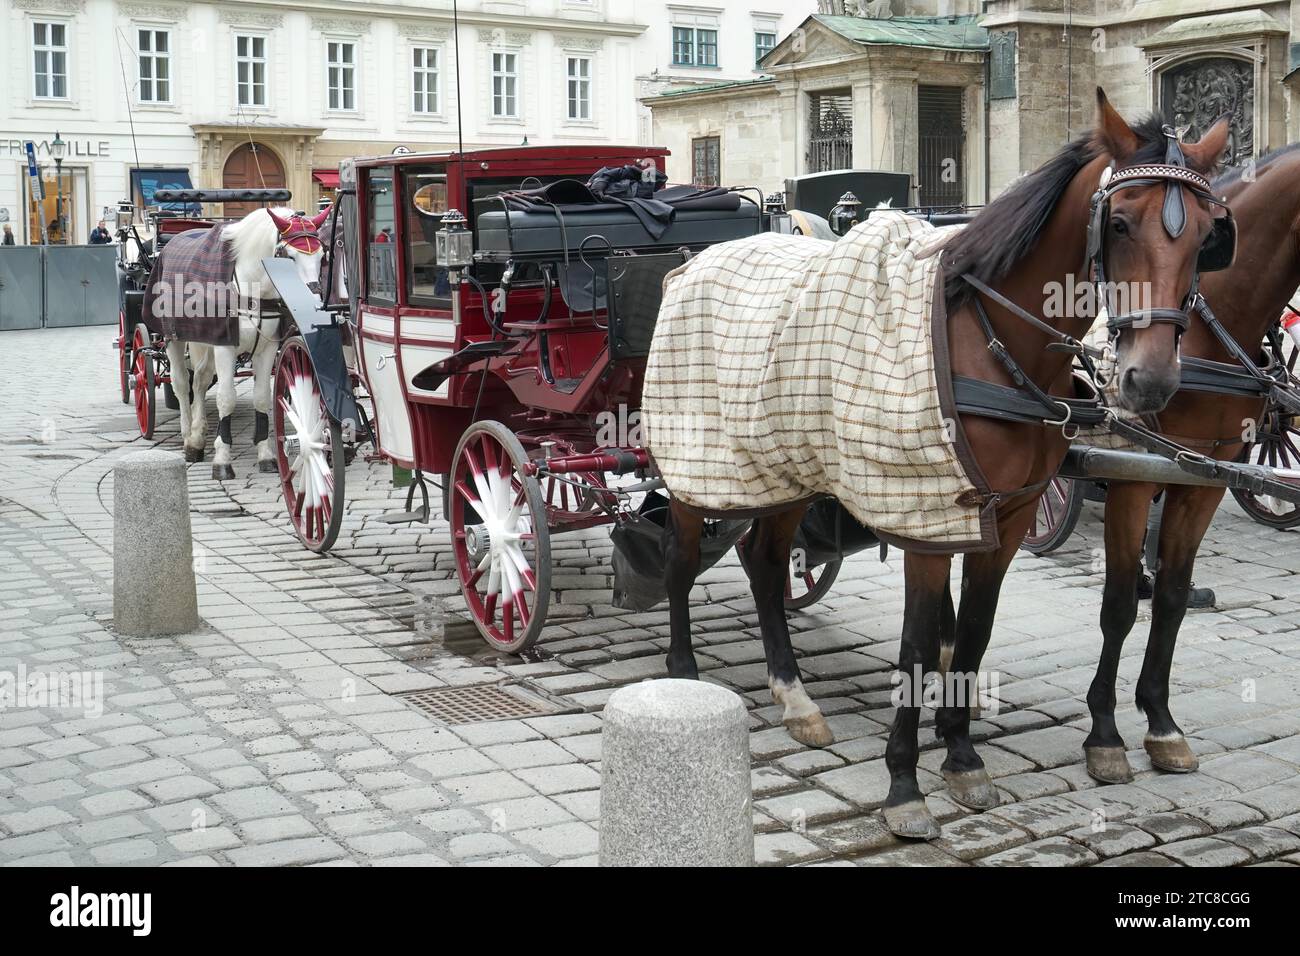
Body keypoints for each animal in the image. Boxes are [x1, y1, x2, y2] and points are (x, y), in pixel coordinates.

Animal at [161, 207, 328, 480]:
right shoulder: (225, 348)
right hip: (174, 338)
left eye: (322, 257)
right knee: (182, 383)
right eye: (289, 257)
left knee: (200, 379)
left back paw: (197, 435)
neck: (252, 290)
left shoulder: (266, 349)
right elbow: (226, 398)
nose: (312, 306)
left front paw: (265, 455)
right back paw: (188, 436)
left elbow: (261, 397)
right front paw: (222, 459)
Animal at [646, 89, 1230, 840]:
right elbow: (919, 642)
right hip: (704, 463)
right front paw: (904, 784)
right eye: (1121, 222)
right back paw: (683, 672)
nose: (1150, 383)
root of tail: (693, 262)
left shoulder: (1007, 516)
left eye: (1206, 237)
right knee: (682, 557)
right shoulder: (923, 515)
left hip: (784, 465)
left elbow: (974, 629)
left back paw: (794, 696)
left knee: (766, 563)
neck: (987, 339)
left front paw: (959, 754)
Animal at [1081, 145, 1299, 786]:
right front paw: (1105, 733)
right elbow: (1118, 605)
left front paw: (1160, 721)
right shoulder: (1133, 477)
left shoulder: (1203, 479)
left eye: (1208, 238)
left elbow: (1174, 598)